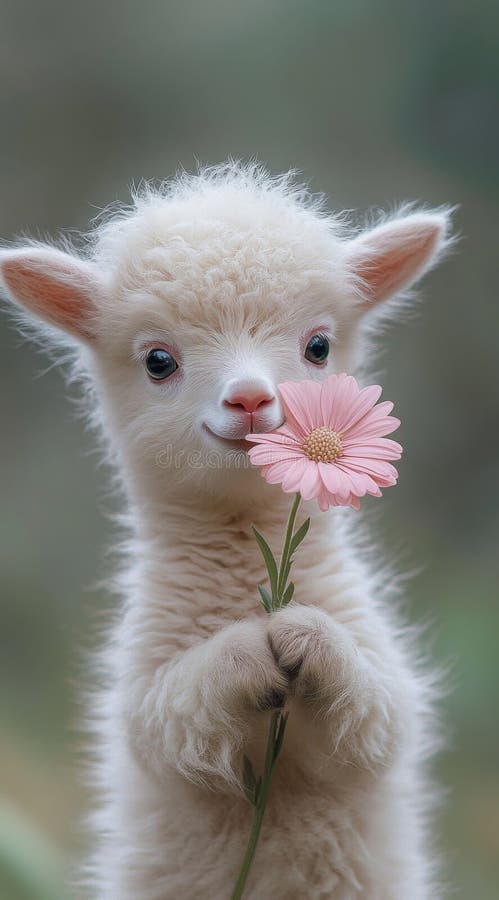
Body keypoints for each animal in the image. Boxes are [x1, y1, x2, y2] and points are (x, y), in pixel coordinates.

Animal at [1, 163, 452, 899]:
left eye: (319, 346)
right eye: (157, 360)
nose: (248, 398)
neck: (247, 550)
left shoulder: (381, 694)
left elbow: (376, 716)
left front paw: (305, 637)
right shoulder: (148, 694)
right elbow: (172, 724)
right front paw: (248, 652)